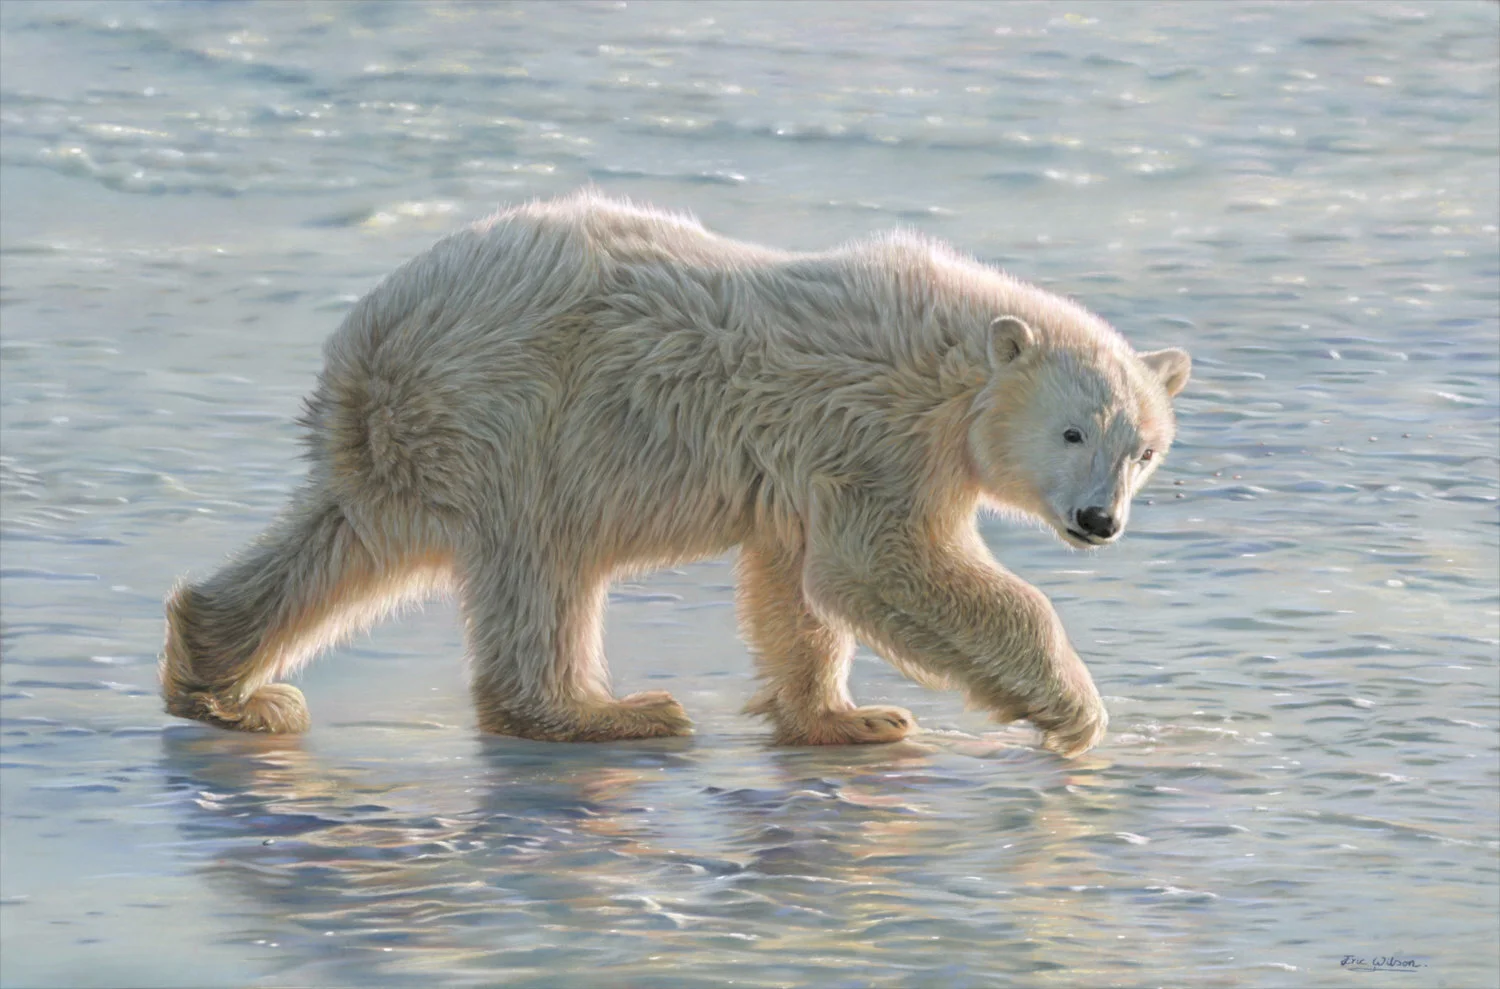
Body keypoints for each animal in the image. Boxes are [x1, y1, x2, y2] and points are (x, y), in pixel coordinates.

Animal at [160, 191, 1190, 757]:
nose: (1100, 521)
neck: (950, 359)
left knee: (347, 539)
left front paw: (850, 718)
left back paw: (225, 681)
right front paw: (1071, 711)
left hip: (417, 446)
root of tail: (367, 347)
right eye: (1072, 432)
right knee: (541, 567)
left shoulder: (812, 465)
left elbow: (796, 586)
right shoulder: (876, 430)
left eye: (1142, 448)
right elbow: (882, 564)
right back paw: (611, 711)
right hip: (518, 419)